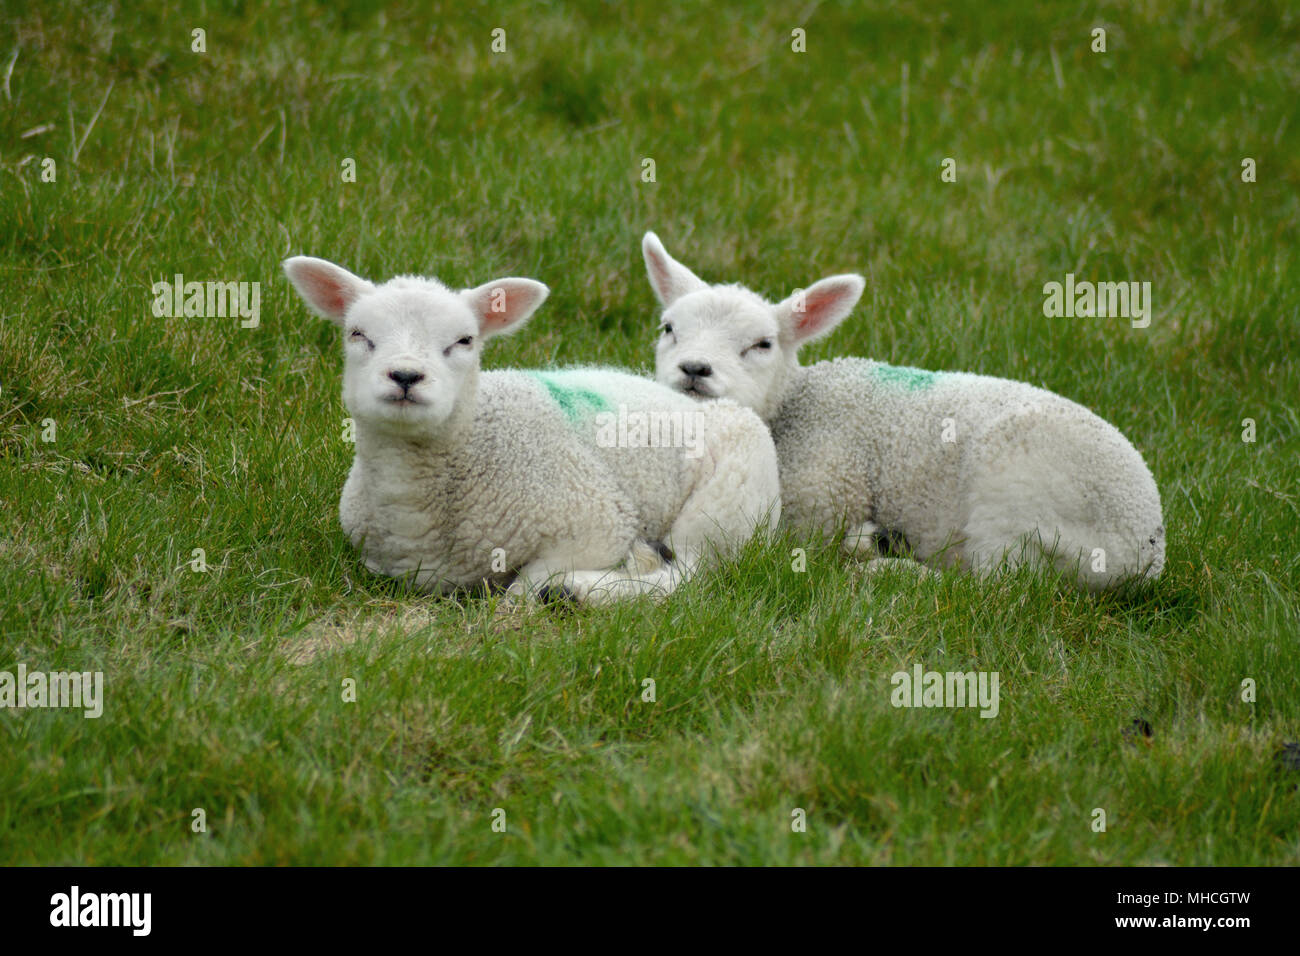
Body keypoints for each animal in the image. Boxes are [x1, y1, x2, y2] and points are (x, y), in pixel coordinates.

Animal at [280, 254, 774, 606]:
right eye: (357, 334)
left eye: (465, 340)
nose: (405, 376)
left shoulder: (598, 523)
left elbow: (522, 592)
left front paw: (548, 591)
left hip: (727, 504)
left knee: (692, 574)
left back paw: (580, 591)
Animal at [644, 231, 1164, 590]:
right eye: (668, 328)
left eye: (762, 344)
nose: (695, 369)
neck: (795, 406)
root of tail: (1145, 550)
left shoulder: (822, 494)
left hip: (1017, 494)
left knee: (996, 589)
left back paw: (888, 570)